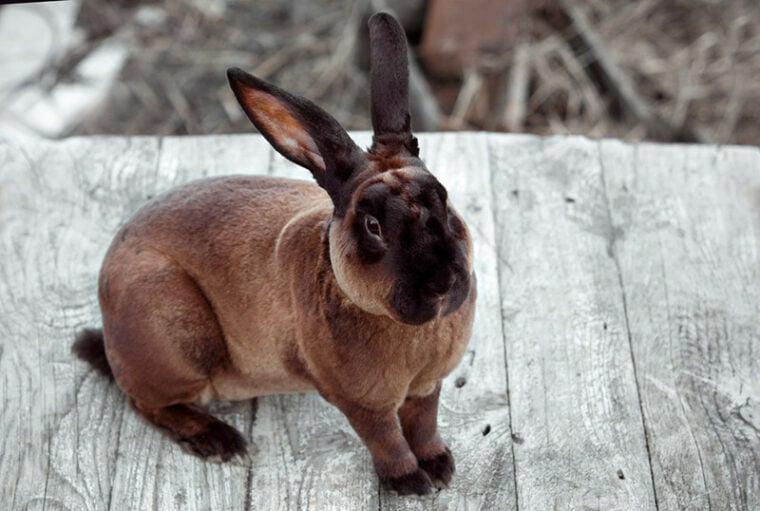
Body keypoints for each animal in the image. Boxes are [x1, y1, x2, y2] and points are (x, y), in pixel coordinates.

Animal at [73, 12, 475, 496]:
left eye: (445, 200)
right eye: (374, 227)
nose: (443, 284)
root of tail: (108, 323)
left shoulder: (426, 386)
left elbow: (423, 423)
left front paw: (439, 467)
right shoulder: (362, 402)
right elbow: (387, 438)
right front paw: (410, 482)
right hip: (169, 327)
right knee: (146, 403)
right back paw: (221, 442)